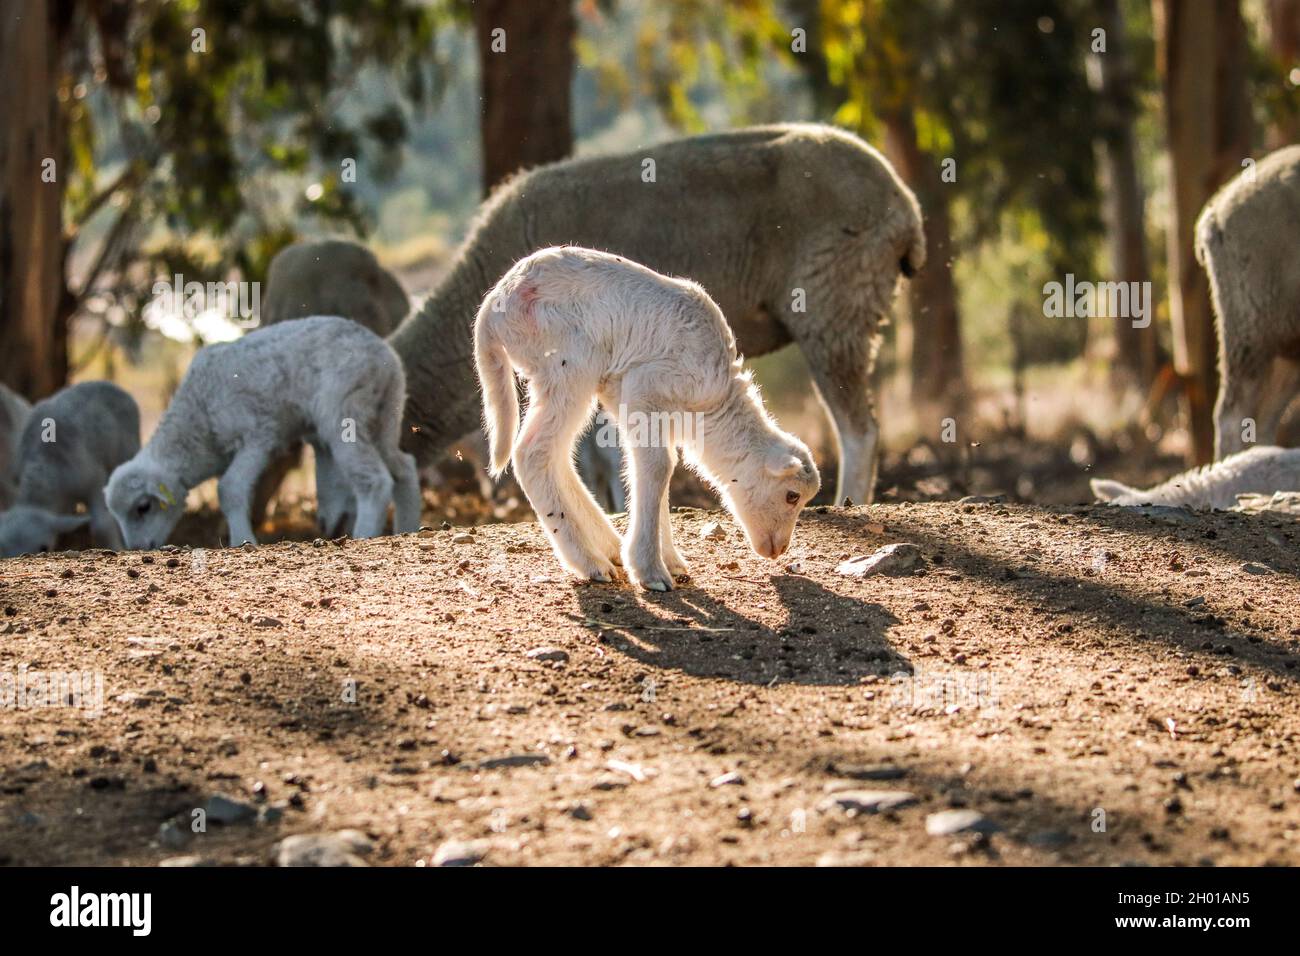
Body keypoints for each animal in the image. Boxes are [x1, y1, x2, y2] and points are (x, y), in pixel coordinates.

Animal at [0, 381, 140, 557]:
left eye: (43, 547)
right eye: (2, 547)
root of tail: (102, 383)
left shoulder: (93, 481)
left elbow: (102, 525)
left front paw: (116, 547)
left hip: (127, 450)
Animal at [105, 316, 421, 549]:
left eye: (143, 507)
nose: (137, 549)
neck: (198, 423)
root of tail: (381, 355)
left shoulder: (258, 433)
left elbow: (229, 489)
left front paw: (241, 540)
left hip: (344, 410)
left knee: (374, 480)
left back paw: (365, 534)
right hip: (386, 412)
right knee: (404, 466)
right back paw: (407, 528)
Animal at [475, 246, 821, 591]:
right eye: (792, 496)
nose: (778, 550)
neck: (715, 403)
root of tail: (494, 304)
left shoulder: (632, 399)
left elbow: (651, 467)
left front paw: (671, 561)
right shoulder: (645, 384)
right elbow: (658, 467)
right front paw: (651, 571)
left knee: (557, 456)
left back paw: (609, 546)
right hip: (566, 363)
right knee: (532, 452)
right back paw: (590, 563)